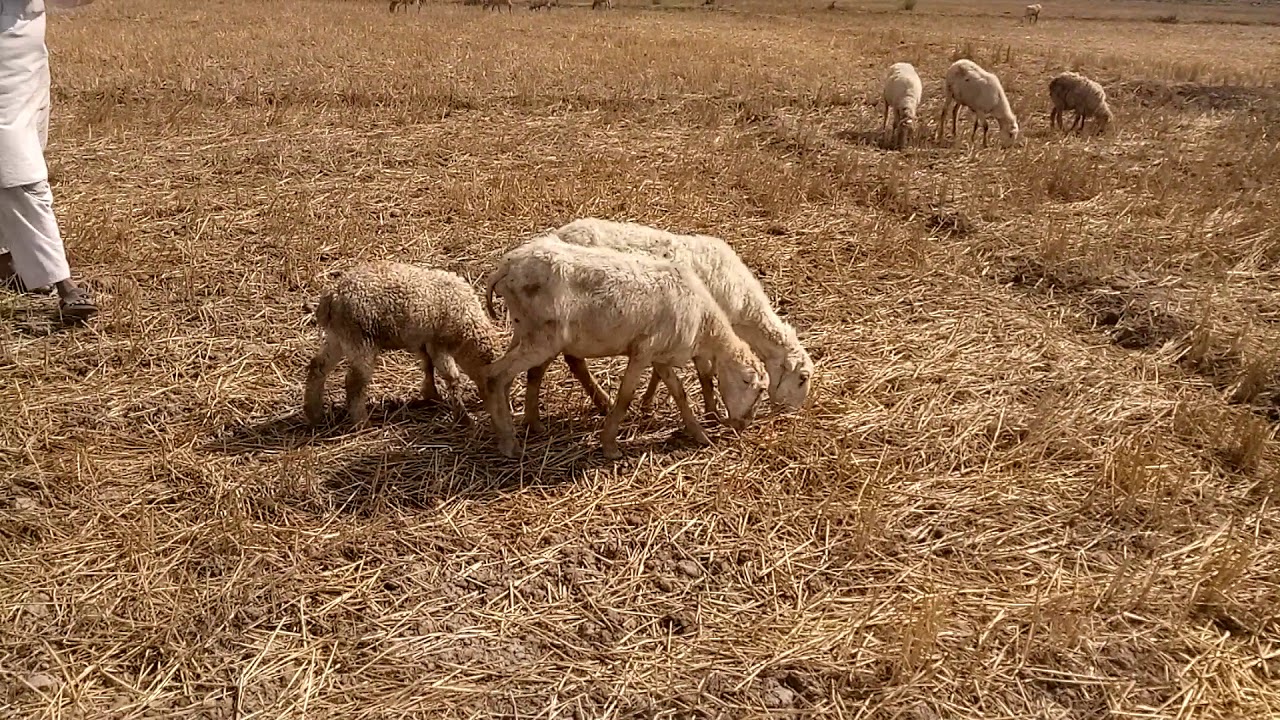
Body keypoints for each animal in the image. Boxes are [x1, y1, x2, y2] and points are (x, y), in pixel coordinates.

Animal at [304, 261, 504, 428]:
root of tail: (331, 297)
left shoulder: (423, 342)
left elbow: (427, 366)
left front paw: (431, 395)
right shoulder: (437, 343)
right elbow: (451, 377)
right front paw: (463, 418)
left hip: (338, 336)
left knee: (317, 367)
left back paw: (314, 415)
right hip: (359, 338)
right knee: (354, 381)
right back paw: (361, 422)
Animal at [481, 234, 770, 460]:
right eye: (752, 386)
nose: (744, 423)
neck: (705, 324)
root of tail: (506, 266)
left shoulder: (661, 356)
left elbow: (680, 394)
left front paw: (699, 434)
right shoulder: (643, 351)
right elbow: (625, 397)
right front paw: (610, 445)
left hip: (525, 329)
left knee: (518, 375)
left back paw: (526, 424)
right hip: (542, 335)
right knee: (496, 375)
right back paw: (508, 442)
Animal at [546, 218, 814, 423]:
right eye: (802, 378)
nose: (790, 412)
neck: (745, 306)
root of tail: (559, 232)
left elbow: (661, 371)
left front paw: (647, 402)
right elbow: (705, 375)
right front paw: (711, 413)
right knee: (575, 361)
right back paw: (604, 401)